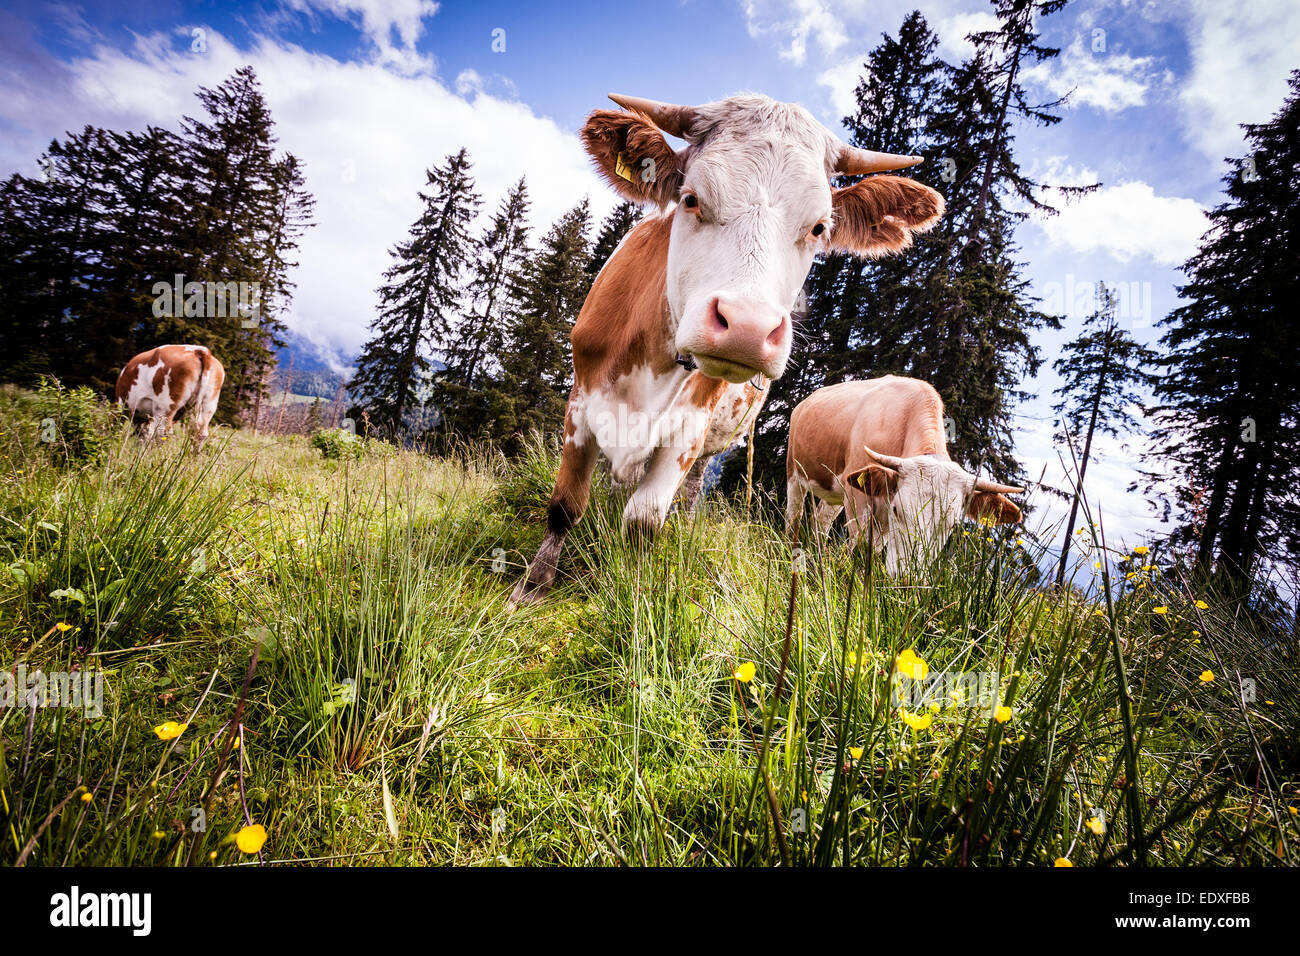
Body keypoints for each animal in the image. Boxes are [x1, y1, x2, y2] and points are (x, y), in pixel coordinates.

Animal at [509, 93, 945, 606]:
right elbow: (565, 504)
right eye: (690, 198)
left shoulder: (689, 429)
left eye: (819, 227)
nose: (747, 328)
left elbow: (643, 521)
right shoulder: (581, 402)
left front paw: (634, 597)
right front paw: (533, 586)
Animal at [785, 375, 1024, 574]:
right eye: (897, 509)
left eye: (953, 524)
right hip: (794, 473)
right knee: (794, 515)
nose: (907, 576)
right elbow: (860, 550)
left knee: (820, 521)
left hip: (835, 491)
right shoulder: (859, 499)